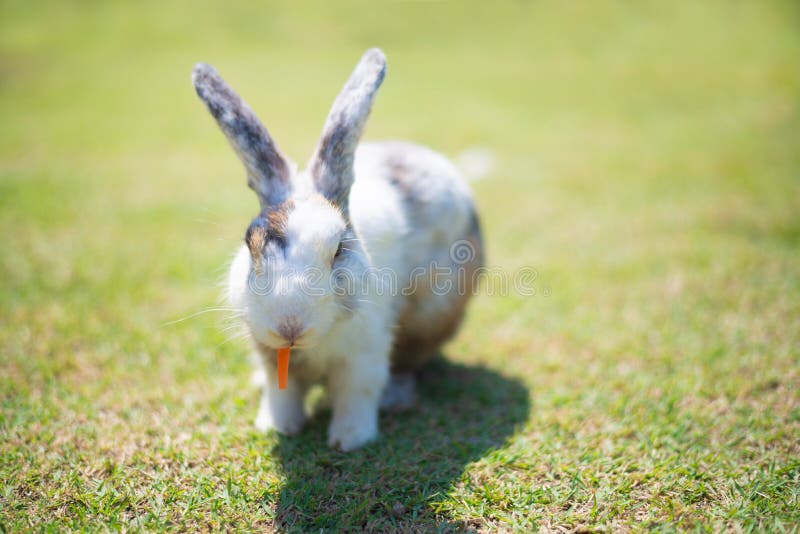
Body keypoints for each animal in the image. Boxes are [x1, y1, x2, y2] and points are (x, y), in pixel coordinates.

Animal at [192, 48, 484, 451]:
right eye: (251, 245)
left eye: (338, 250)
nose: (290, 325)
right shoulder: (270, 356)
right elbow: (282, 395)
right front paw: (277, 427)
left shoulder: (363, 356)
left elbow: (355, 395)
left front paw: (349, 440)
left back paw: (396, 397)